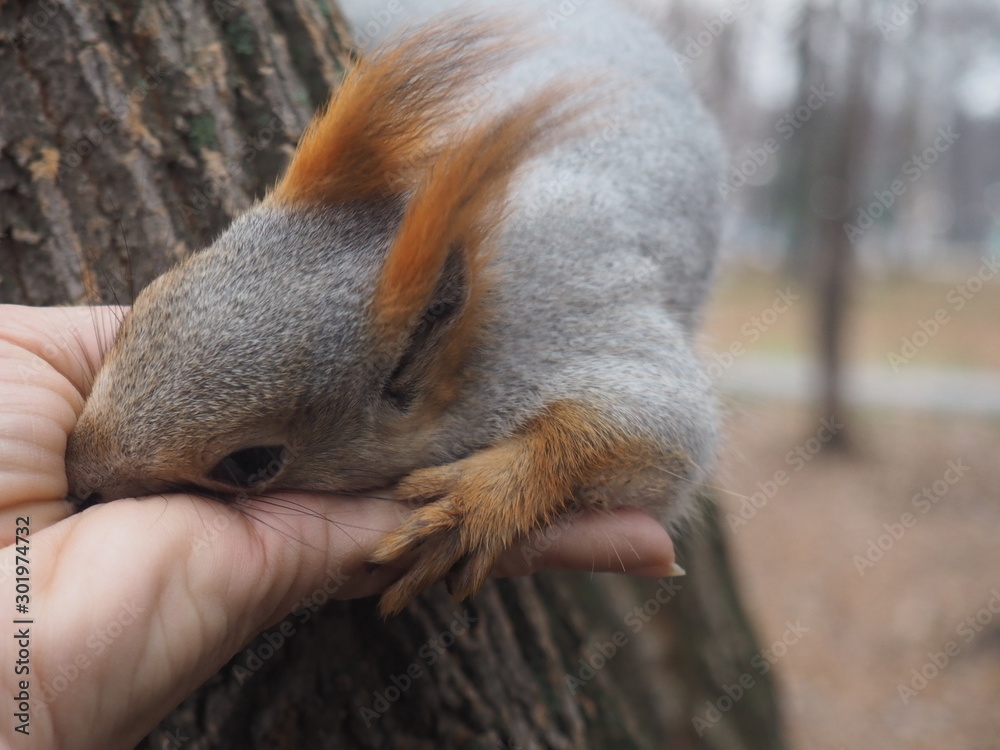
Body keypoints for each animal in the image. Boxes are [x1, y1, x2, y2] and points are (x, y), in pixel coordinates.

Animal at [64, 0, 723, 616]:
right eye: (140, 307)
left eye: (251, 462)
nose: (75, 475)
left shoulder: (578, 321)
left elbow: (662, 429)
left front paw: (479, 503)